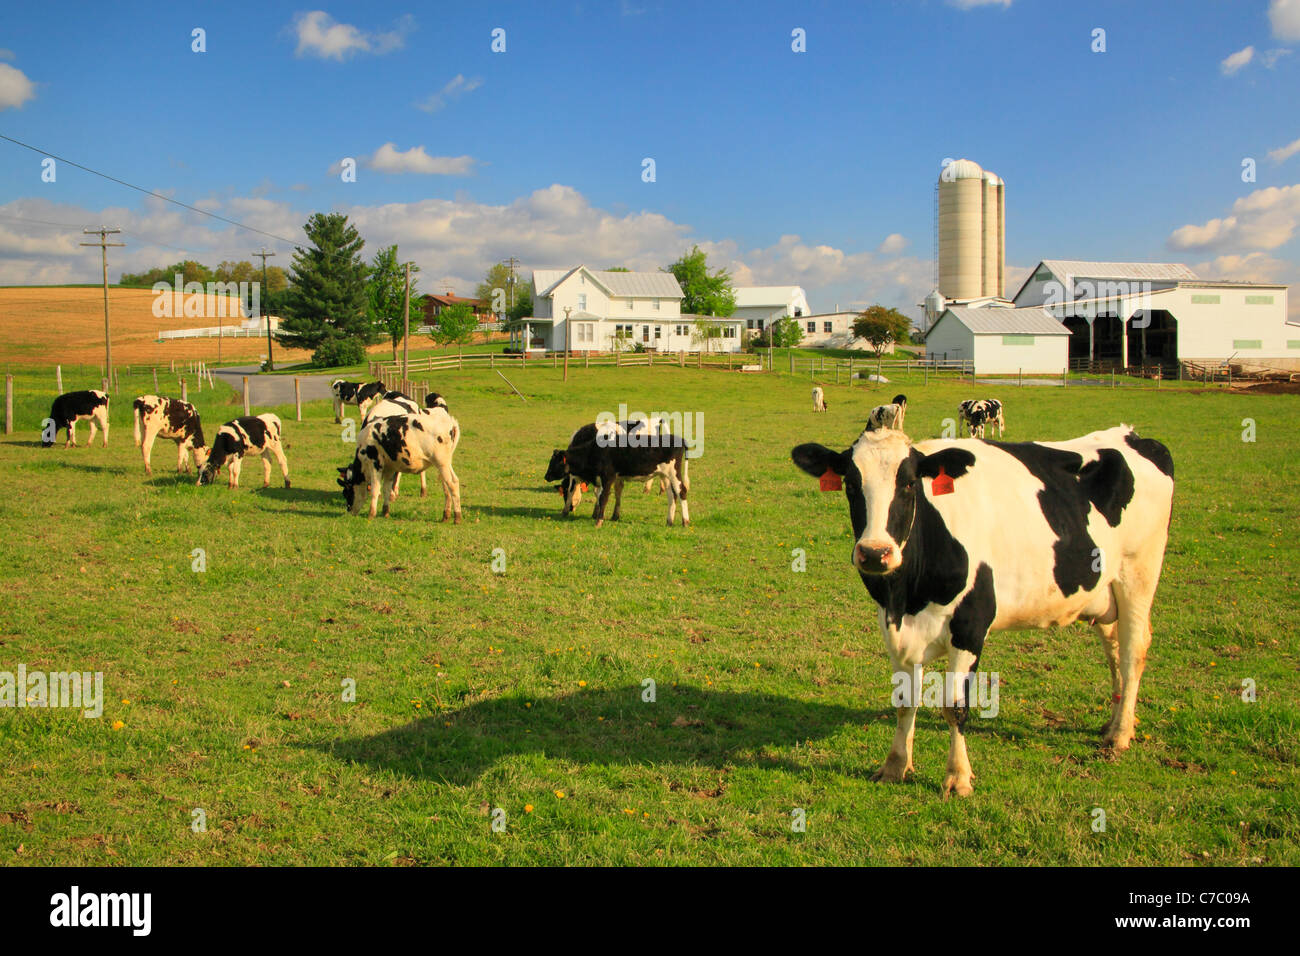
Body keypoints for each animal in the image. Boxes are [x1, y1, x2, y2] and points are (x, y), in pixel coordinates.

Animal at [546, 427, 690, 527]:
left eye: (556, 462)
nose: (546, 476)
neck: (594, 451)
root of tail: (679, 439)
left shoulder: (608, 478)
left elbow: (604, 498)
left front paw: (599, 521)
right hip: (665, 476)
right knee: (672, 496)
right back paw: (669, 521)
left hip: (673, 473)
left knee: (682, 492)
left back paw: (685, 521)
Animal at [791, 424, 1174, 797]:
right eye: (851, 484)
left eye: (910, 484)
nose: (874, 553)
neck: (907, 595)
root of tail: (1131, 435)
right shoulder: (892, 626)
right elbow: (904, 700)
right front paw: (895, 766)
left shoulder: (970, 625)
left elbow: (955, 706)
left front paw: (957, 777)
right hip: (1105, 592)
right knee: (1113, 649)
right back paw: (1113, 721)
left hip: (1139, 576)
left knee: (1133, 650)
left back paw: (1120, 734)